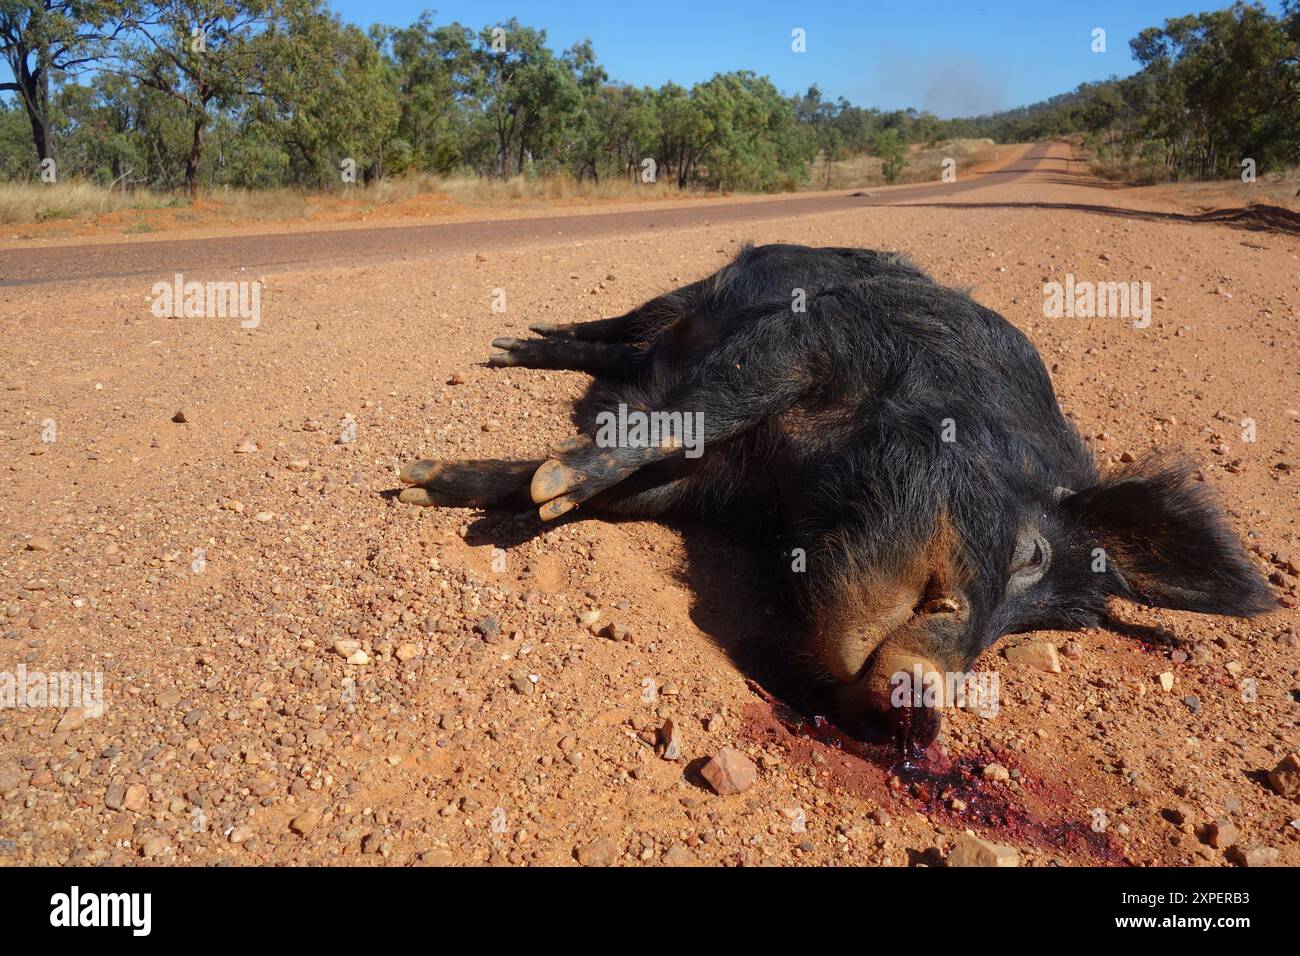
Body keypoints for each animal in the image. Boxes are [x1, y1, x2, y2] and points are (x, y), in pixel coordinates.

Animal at [398, 243, 1276, 747]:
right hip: (689, 293)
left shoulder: (718, 488)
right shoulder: (808, 337)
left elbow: (641, 485)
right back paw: (509, 348)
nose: (924, 714)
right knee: (614, 328)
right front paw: (522, 486)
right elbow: (698, 411)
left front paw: (441, 487)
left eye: (1023, 633)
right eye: (1029, 558)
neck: (802, 482)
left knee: (623, 355)